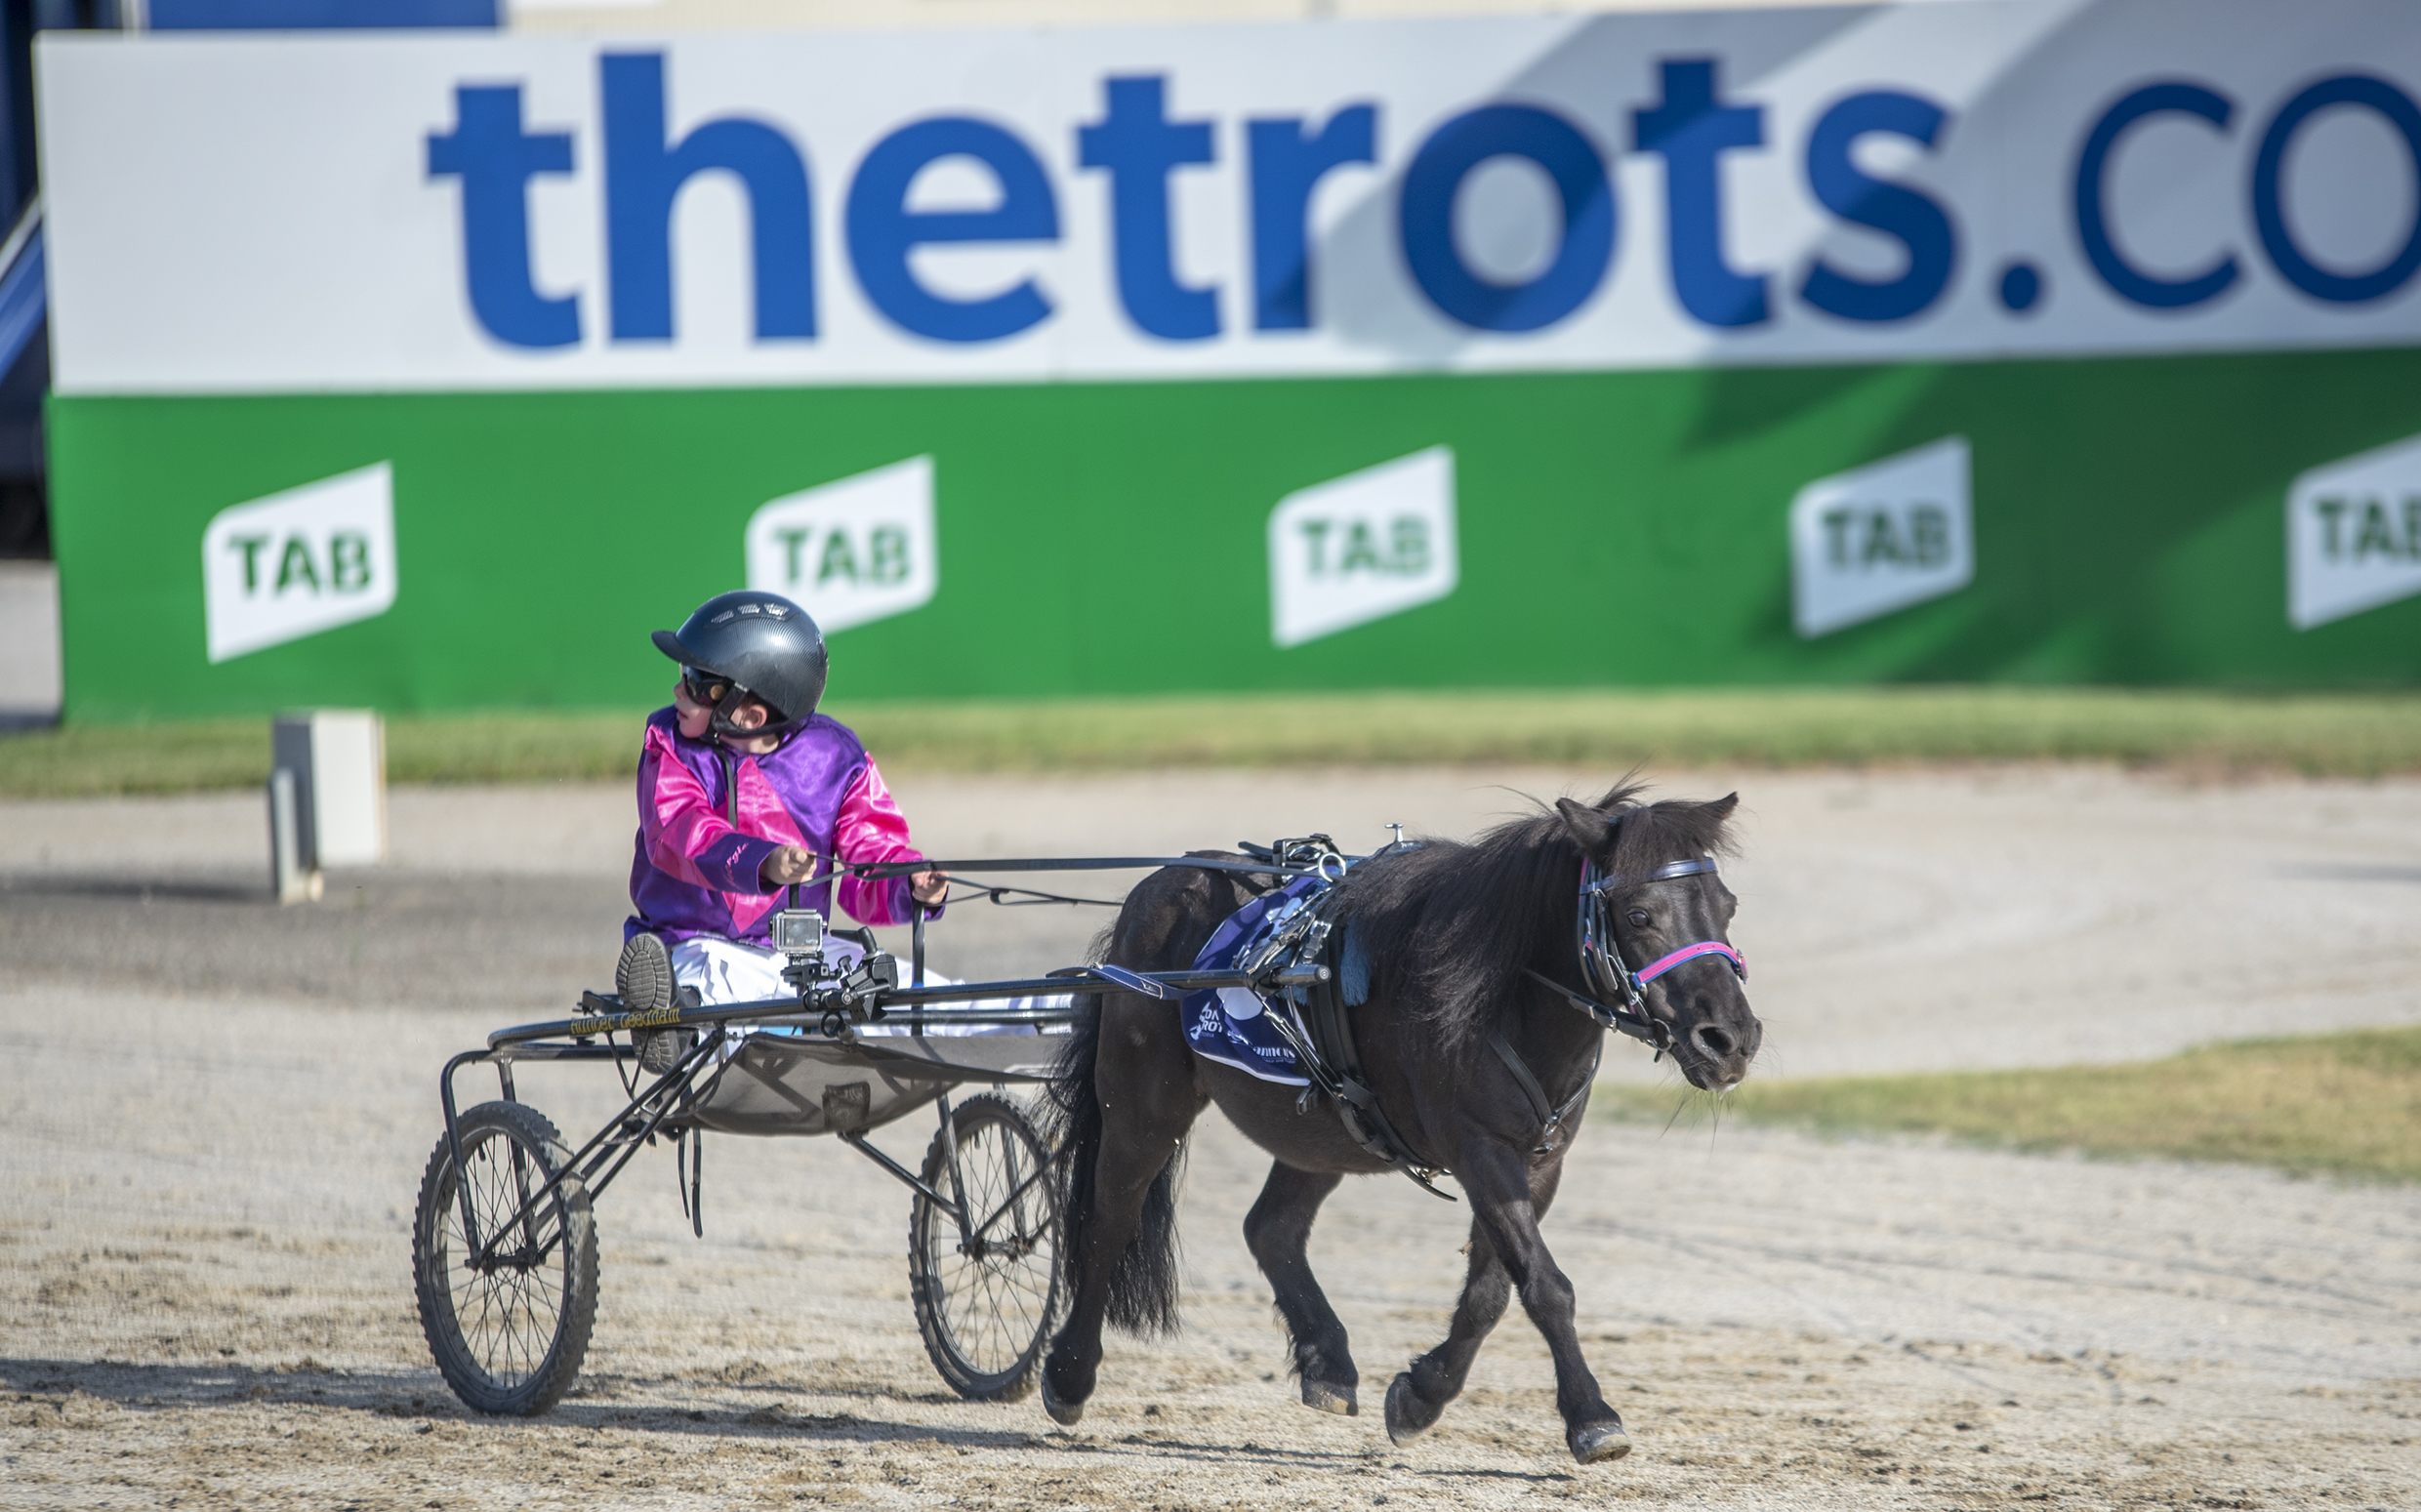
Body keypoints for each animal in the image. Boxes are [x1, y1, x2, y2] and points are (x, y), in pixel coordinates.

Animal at [1037, 781, 1762, 1464]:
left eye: (1728, 905)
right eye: (1639, 913)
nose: (1730, 1038)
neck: (1499, 992)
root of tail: (1159, 885)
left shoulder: (1539, 1158)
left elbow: (1492, 1290)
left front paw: (1422, 1394)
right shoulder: (1480, 1151)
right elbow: (1546, 1286)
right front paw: (1592, 1416)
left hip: (1324, 1130)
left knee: (1271, 1228)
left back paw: (1328, 1360)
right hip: (1143, 1105)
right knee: (1107, 1223)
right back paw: (1070, 1373)